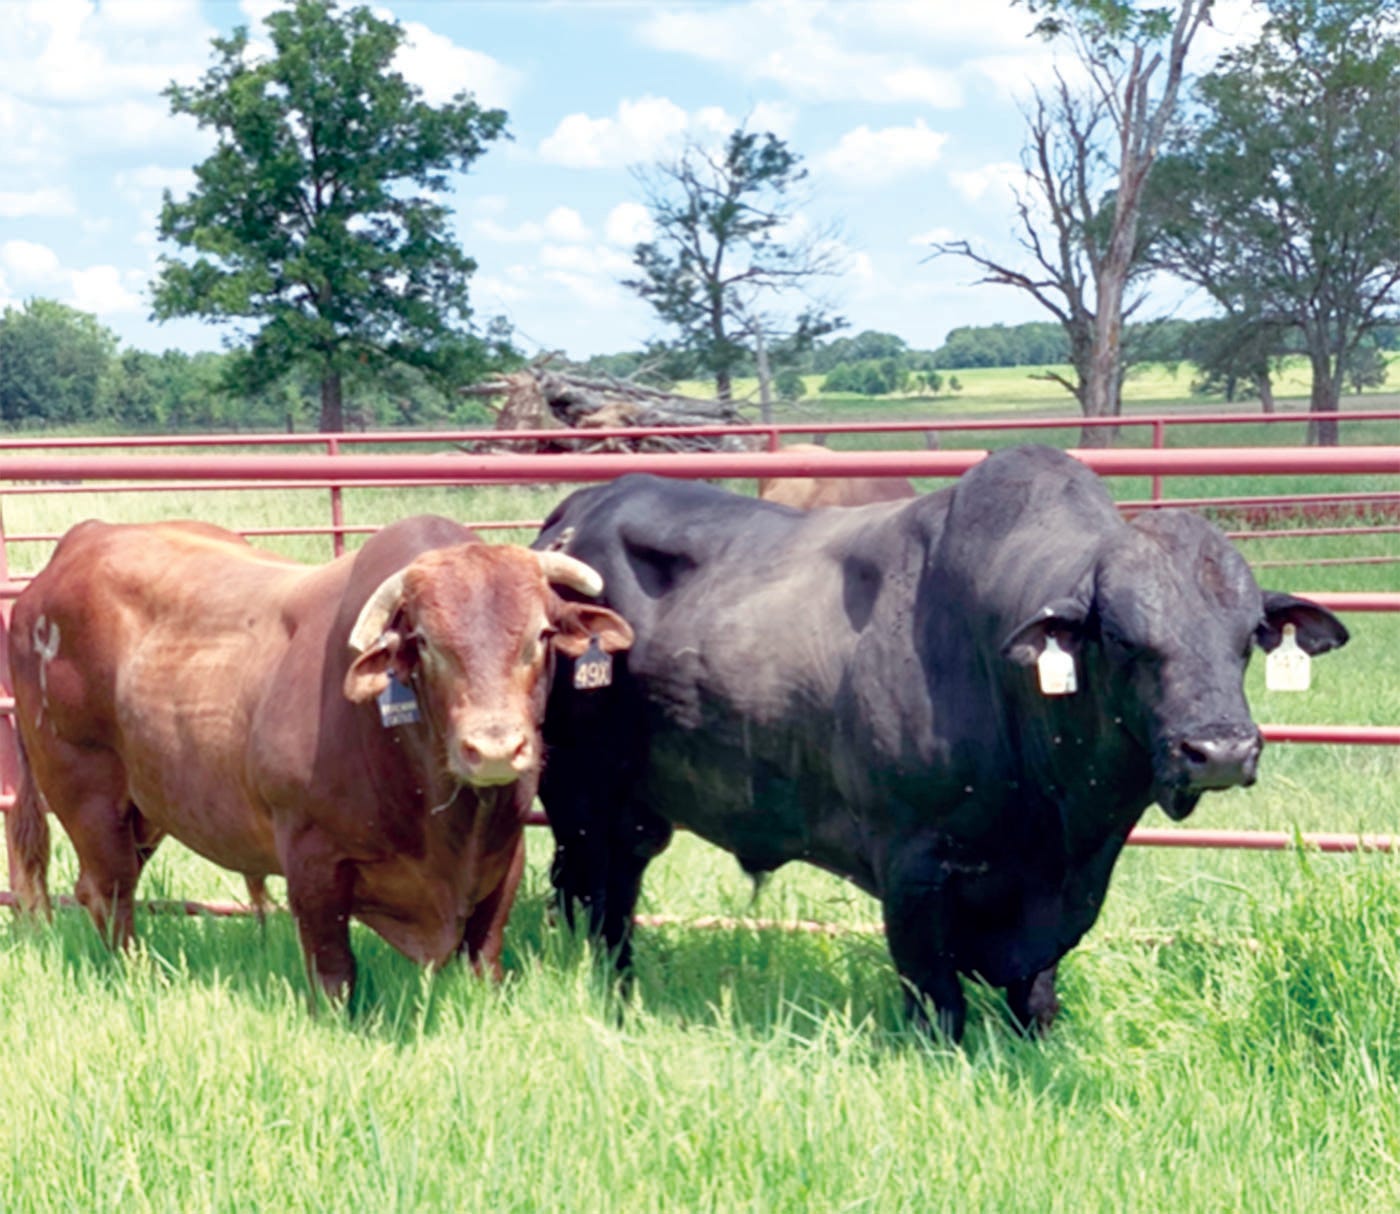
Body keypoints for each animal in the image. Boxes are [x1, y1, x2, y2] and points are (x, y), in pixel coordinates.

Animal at [6, 515, 633, 1002]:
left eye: (542, 635)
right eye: (426, 643)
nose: (496, 747)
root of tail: (81, 541)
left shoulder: (506, 849)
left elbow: (485, 954)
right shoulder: (312, 859)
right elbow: (334, 969)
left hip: (147, 806)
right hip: (87, 795)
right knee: (107, 893)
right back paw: (135, 974)